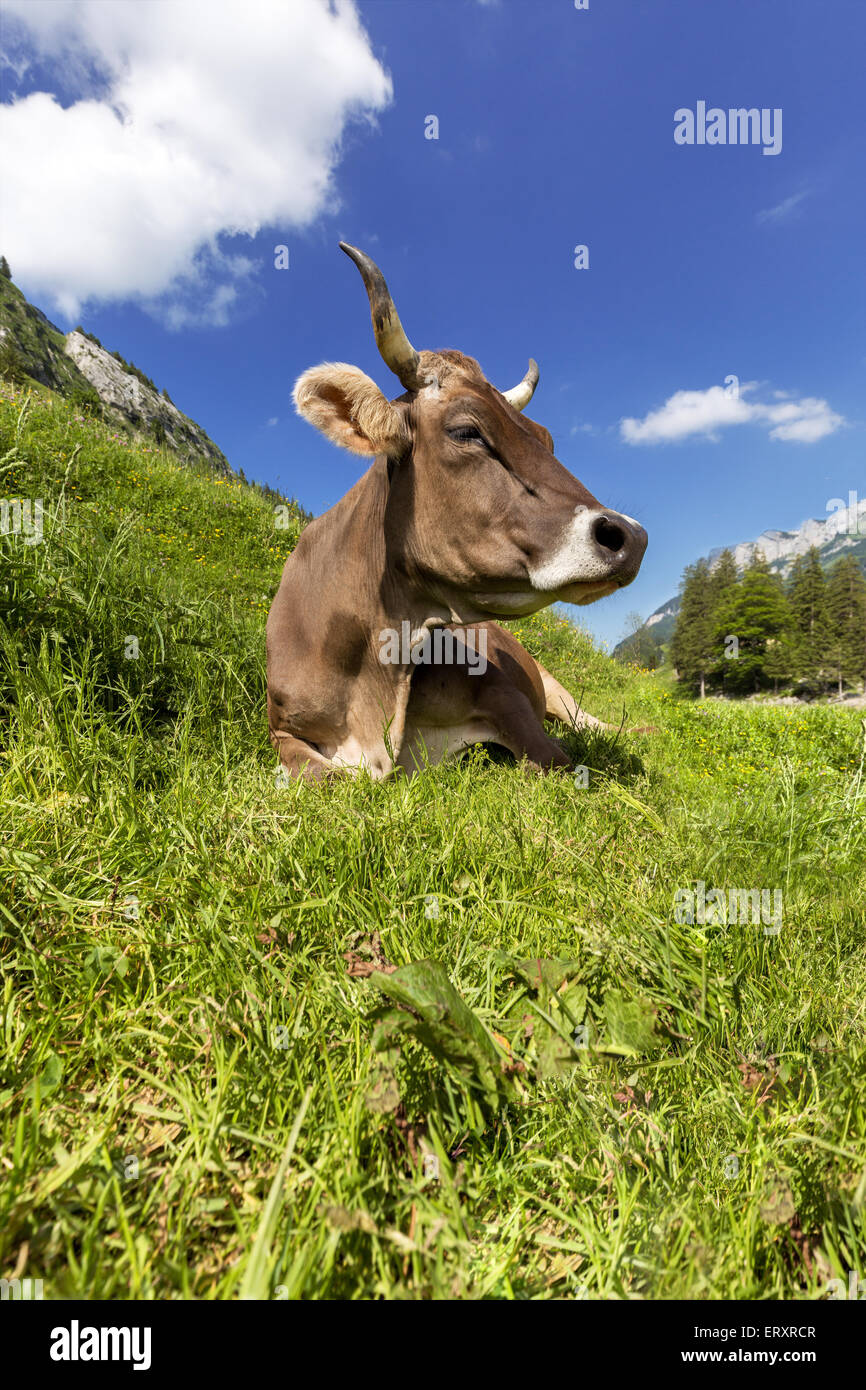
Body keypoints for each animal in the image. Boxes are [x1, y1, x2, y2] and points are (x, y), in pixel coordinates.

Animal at [266, 243, 647, 781]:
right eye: (467, 431)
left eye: (547, 439)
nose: (630, 536)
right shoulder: (280, 727)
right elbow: (318, 776)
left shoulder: (505, 691)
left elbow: (554, 758)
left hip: (556, 687)